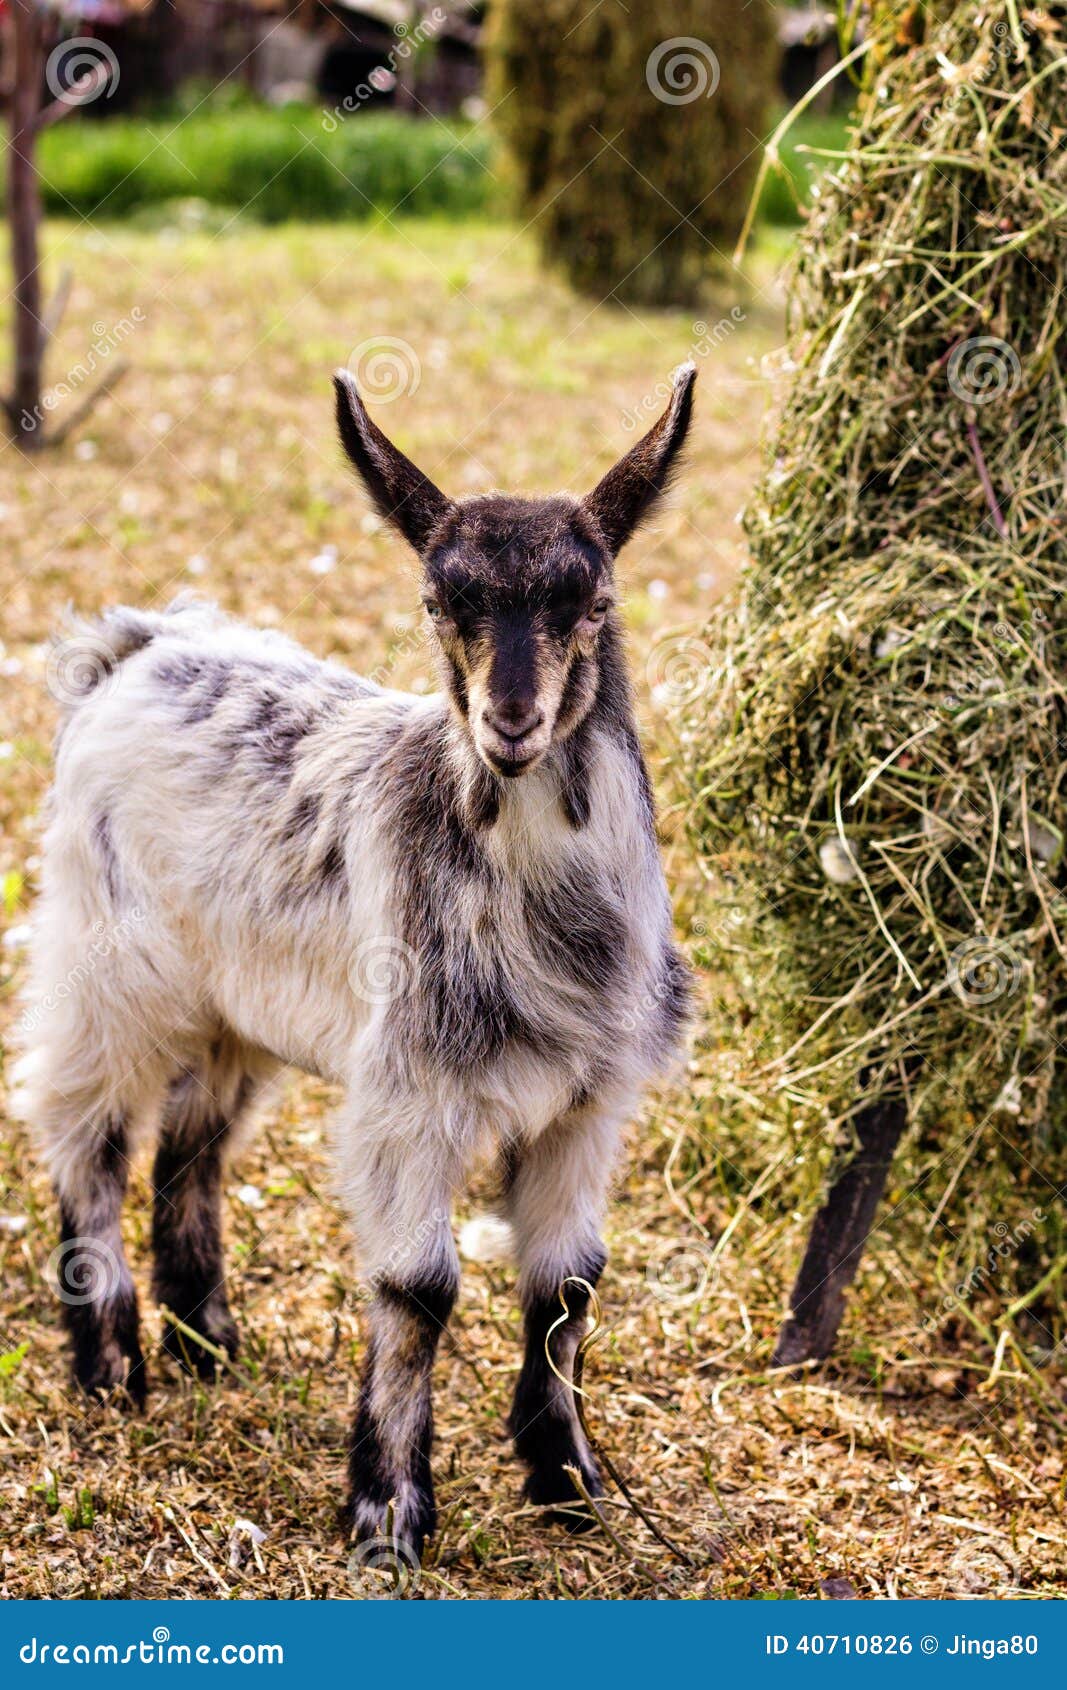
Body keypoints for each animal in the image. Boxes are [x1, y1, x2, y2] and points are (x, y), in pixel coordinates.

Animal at [16, 362, 696, 1557]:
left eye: (593, 603)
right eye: (437, 602)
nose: (509, 722)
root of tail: (133, 649)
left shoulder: (590, 1101)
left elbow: (568, 1286)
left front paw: (566, 1482)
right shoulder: (411, 1096)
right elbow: (419, 1288)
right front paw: (388, 1512)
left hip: (236, 1004)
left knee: (190, 1144)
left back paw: (208, 1340)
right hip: (103, 959)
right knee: (86, 1132)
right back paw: (111, 1365)